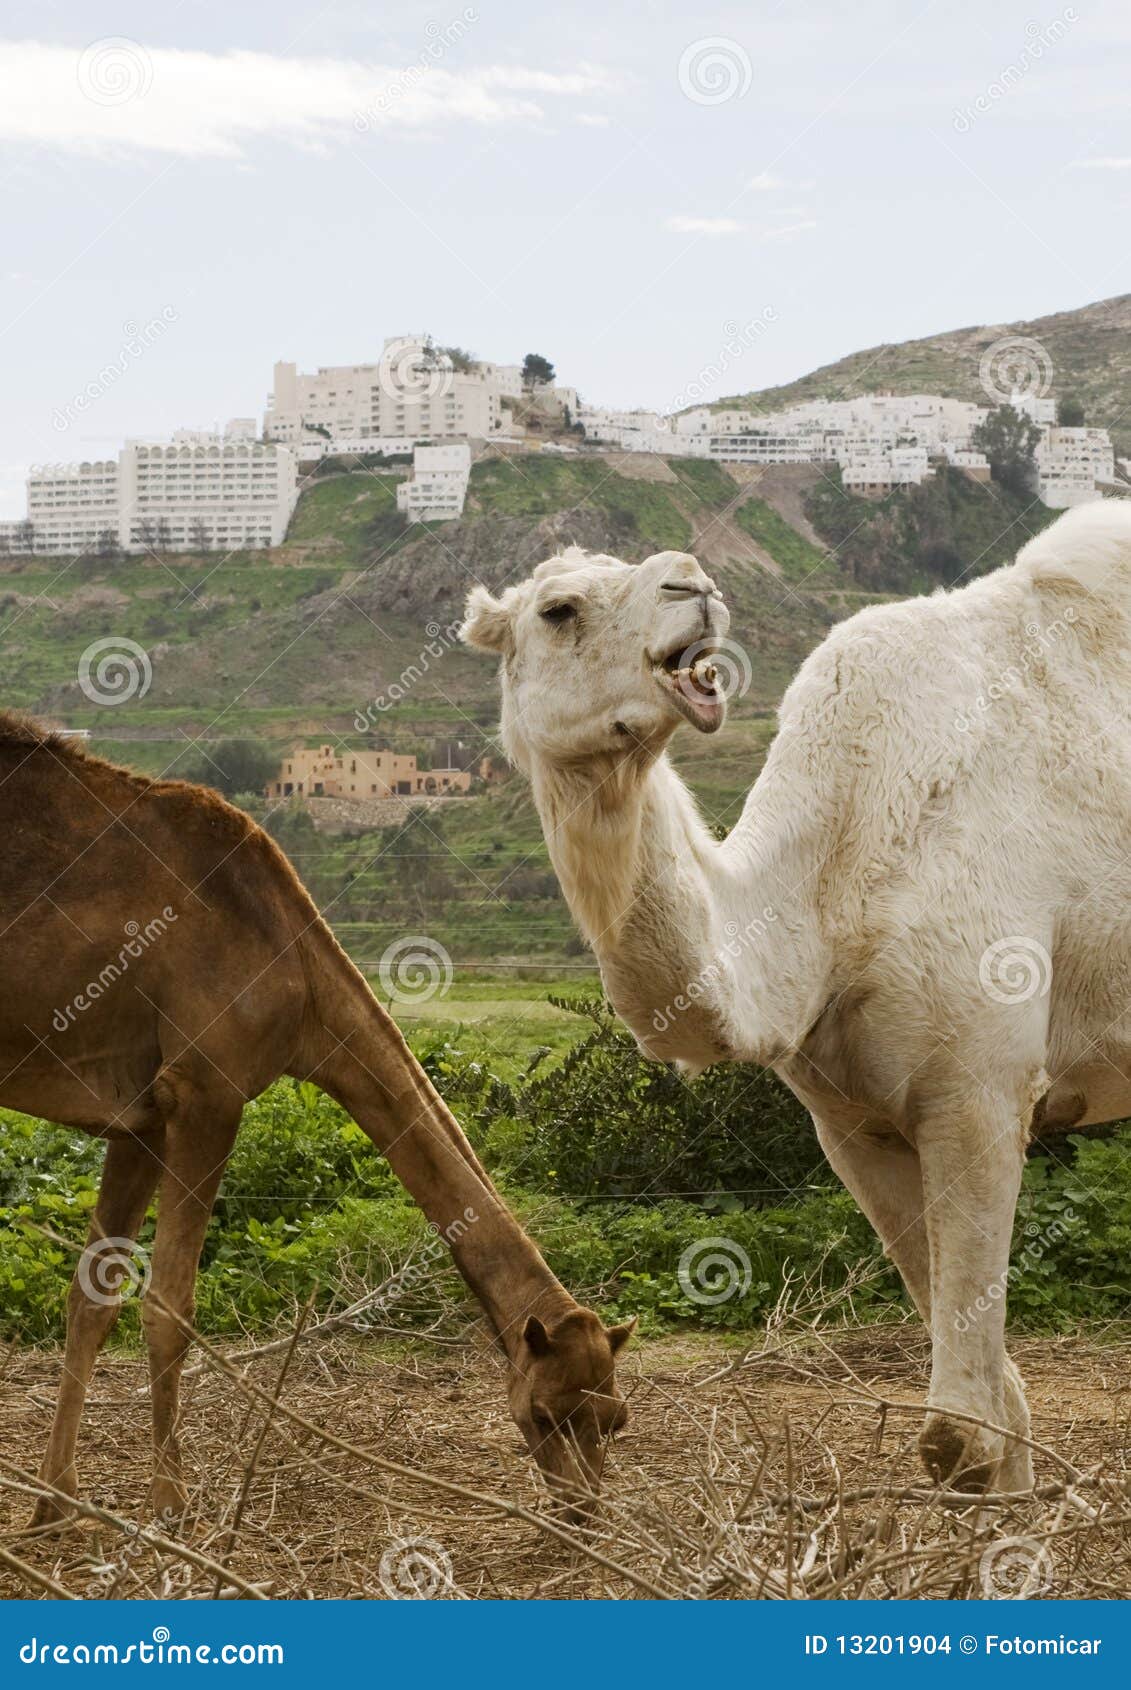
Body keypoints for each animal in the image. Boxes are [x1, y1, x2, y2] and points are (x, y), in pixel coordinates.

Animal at [0, 716, 630, 1526]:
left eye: (614, 1418)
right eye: (548, 1413)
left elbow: (92, 1299)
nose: (581, 1508)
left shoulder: (139, 1116)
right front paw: (171, 1503)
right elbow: (170, 1308)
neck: (298, 974)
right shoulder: (206, 1092)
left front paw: (56, 1501)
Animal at [462, 500, 1131, 1494]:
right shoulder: (850, 1123)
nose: (692, 582)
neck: (837, 872)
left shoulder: (982, 1086)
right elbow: (995, 1411)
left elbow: (954, 1436)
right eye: (558, 608)